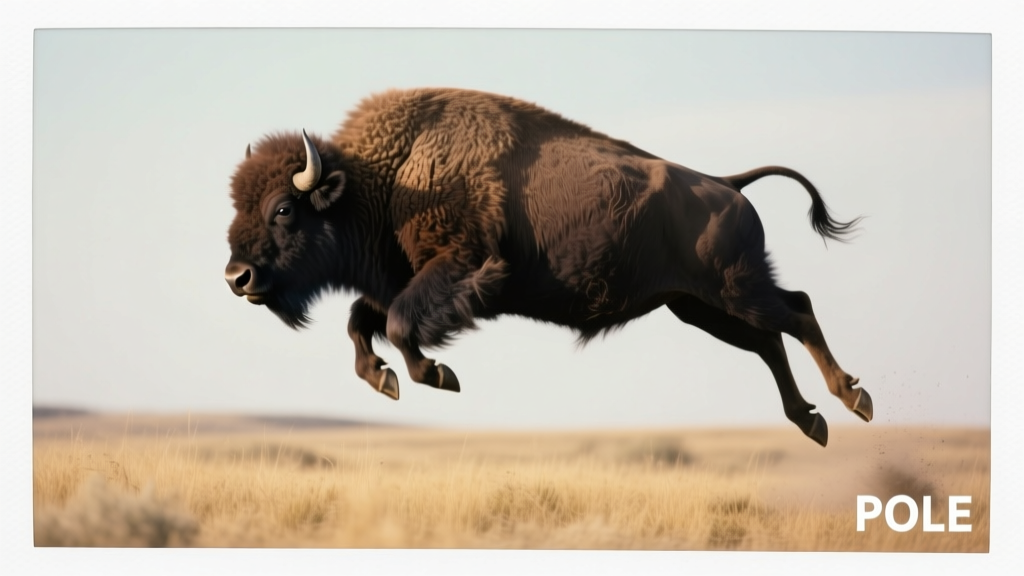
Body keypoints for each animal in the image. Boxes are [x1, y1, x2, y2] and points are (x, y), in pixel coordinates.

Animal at [224, 88, 870, 446]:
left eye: (283, 208)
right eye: (238, 204)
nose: (237, 278)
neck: (388, 180)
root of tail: (726, 184)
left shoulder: (458, 269)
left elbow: (402, 325)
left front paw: (437, 374)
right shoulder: (397, 283)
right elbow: (363, 323)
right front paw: (385, 379)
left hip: (733, 291)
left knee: (797, 313)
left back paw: (851, 398)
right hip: (699, 307)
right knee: (769, 339)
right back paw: (812, 421)